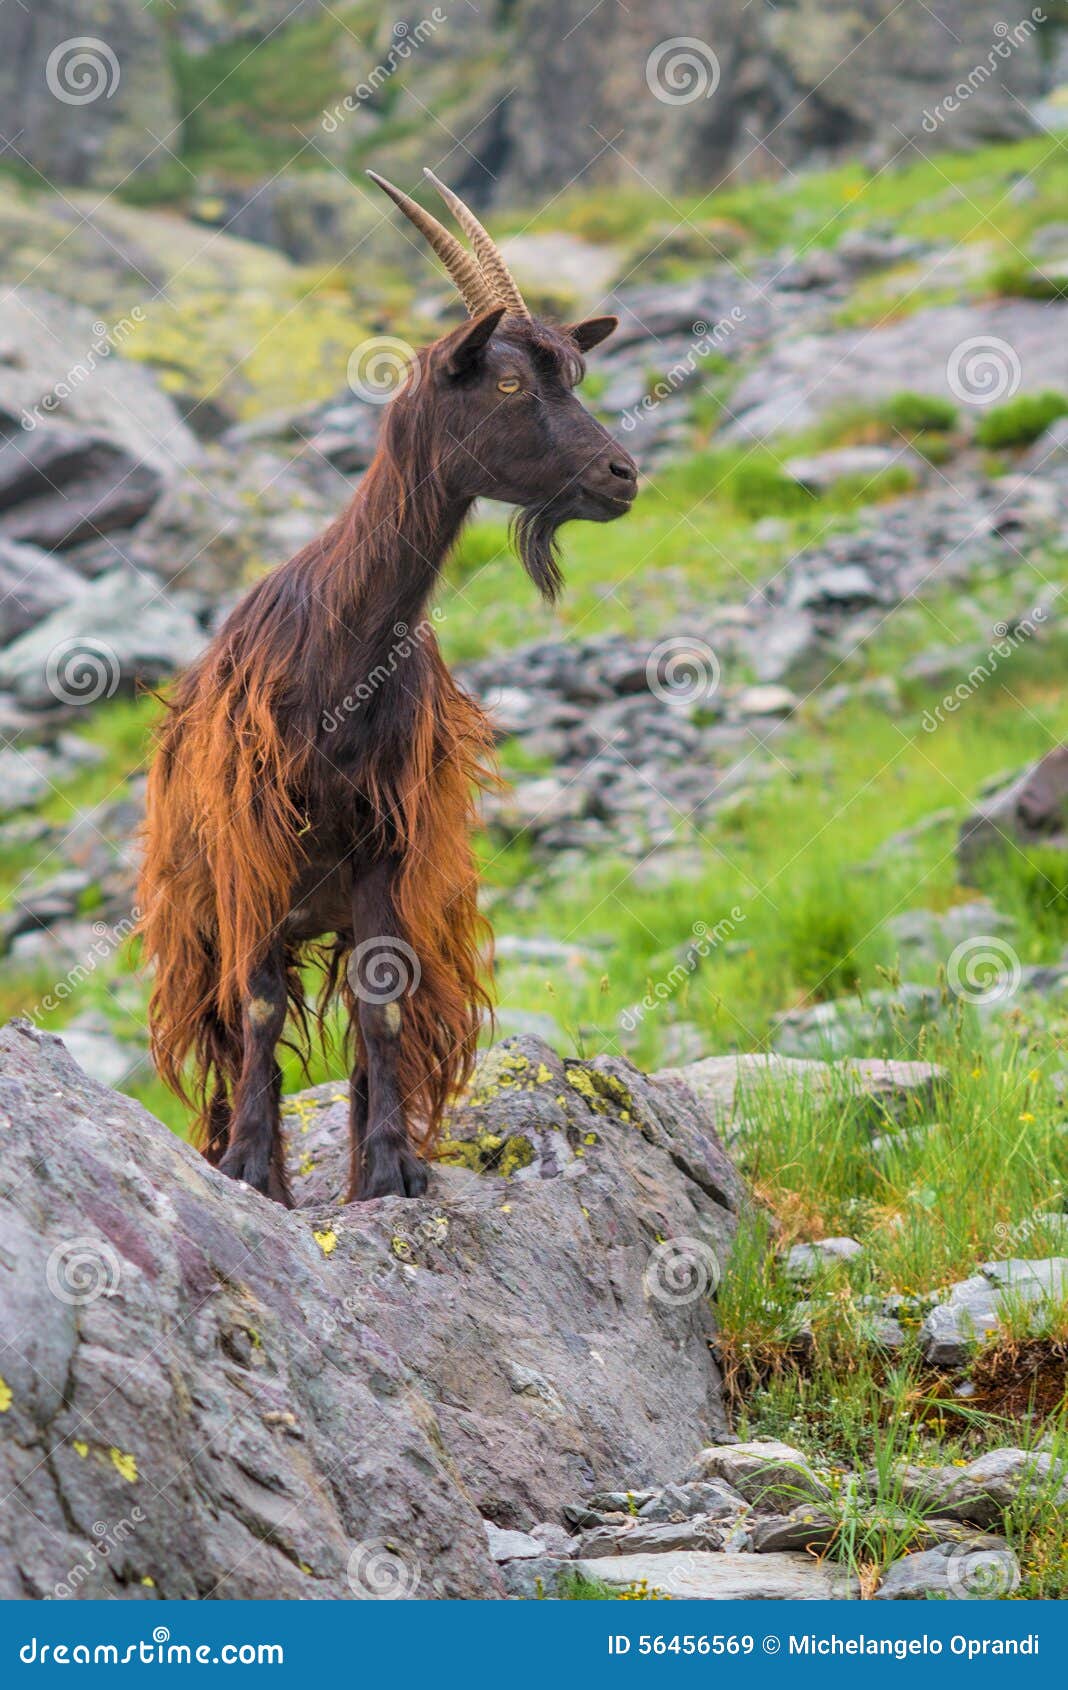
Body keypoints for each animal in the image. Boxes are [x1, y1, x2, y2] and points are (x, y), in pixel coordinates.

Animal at [137, 169, 638, 1204]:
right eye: (509, 382)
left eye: (573, 376)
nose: (622, 474)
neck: (343, 648)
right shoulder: (253, 853)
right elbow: (256, 1010)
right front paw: (252, 1173)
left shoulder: (385, 849)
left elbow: (382, 1015)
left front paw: (392, 1171)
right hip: (205, 908)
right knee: (227, 1026)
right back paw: (230, 1147)